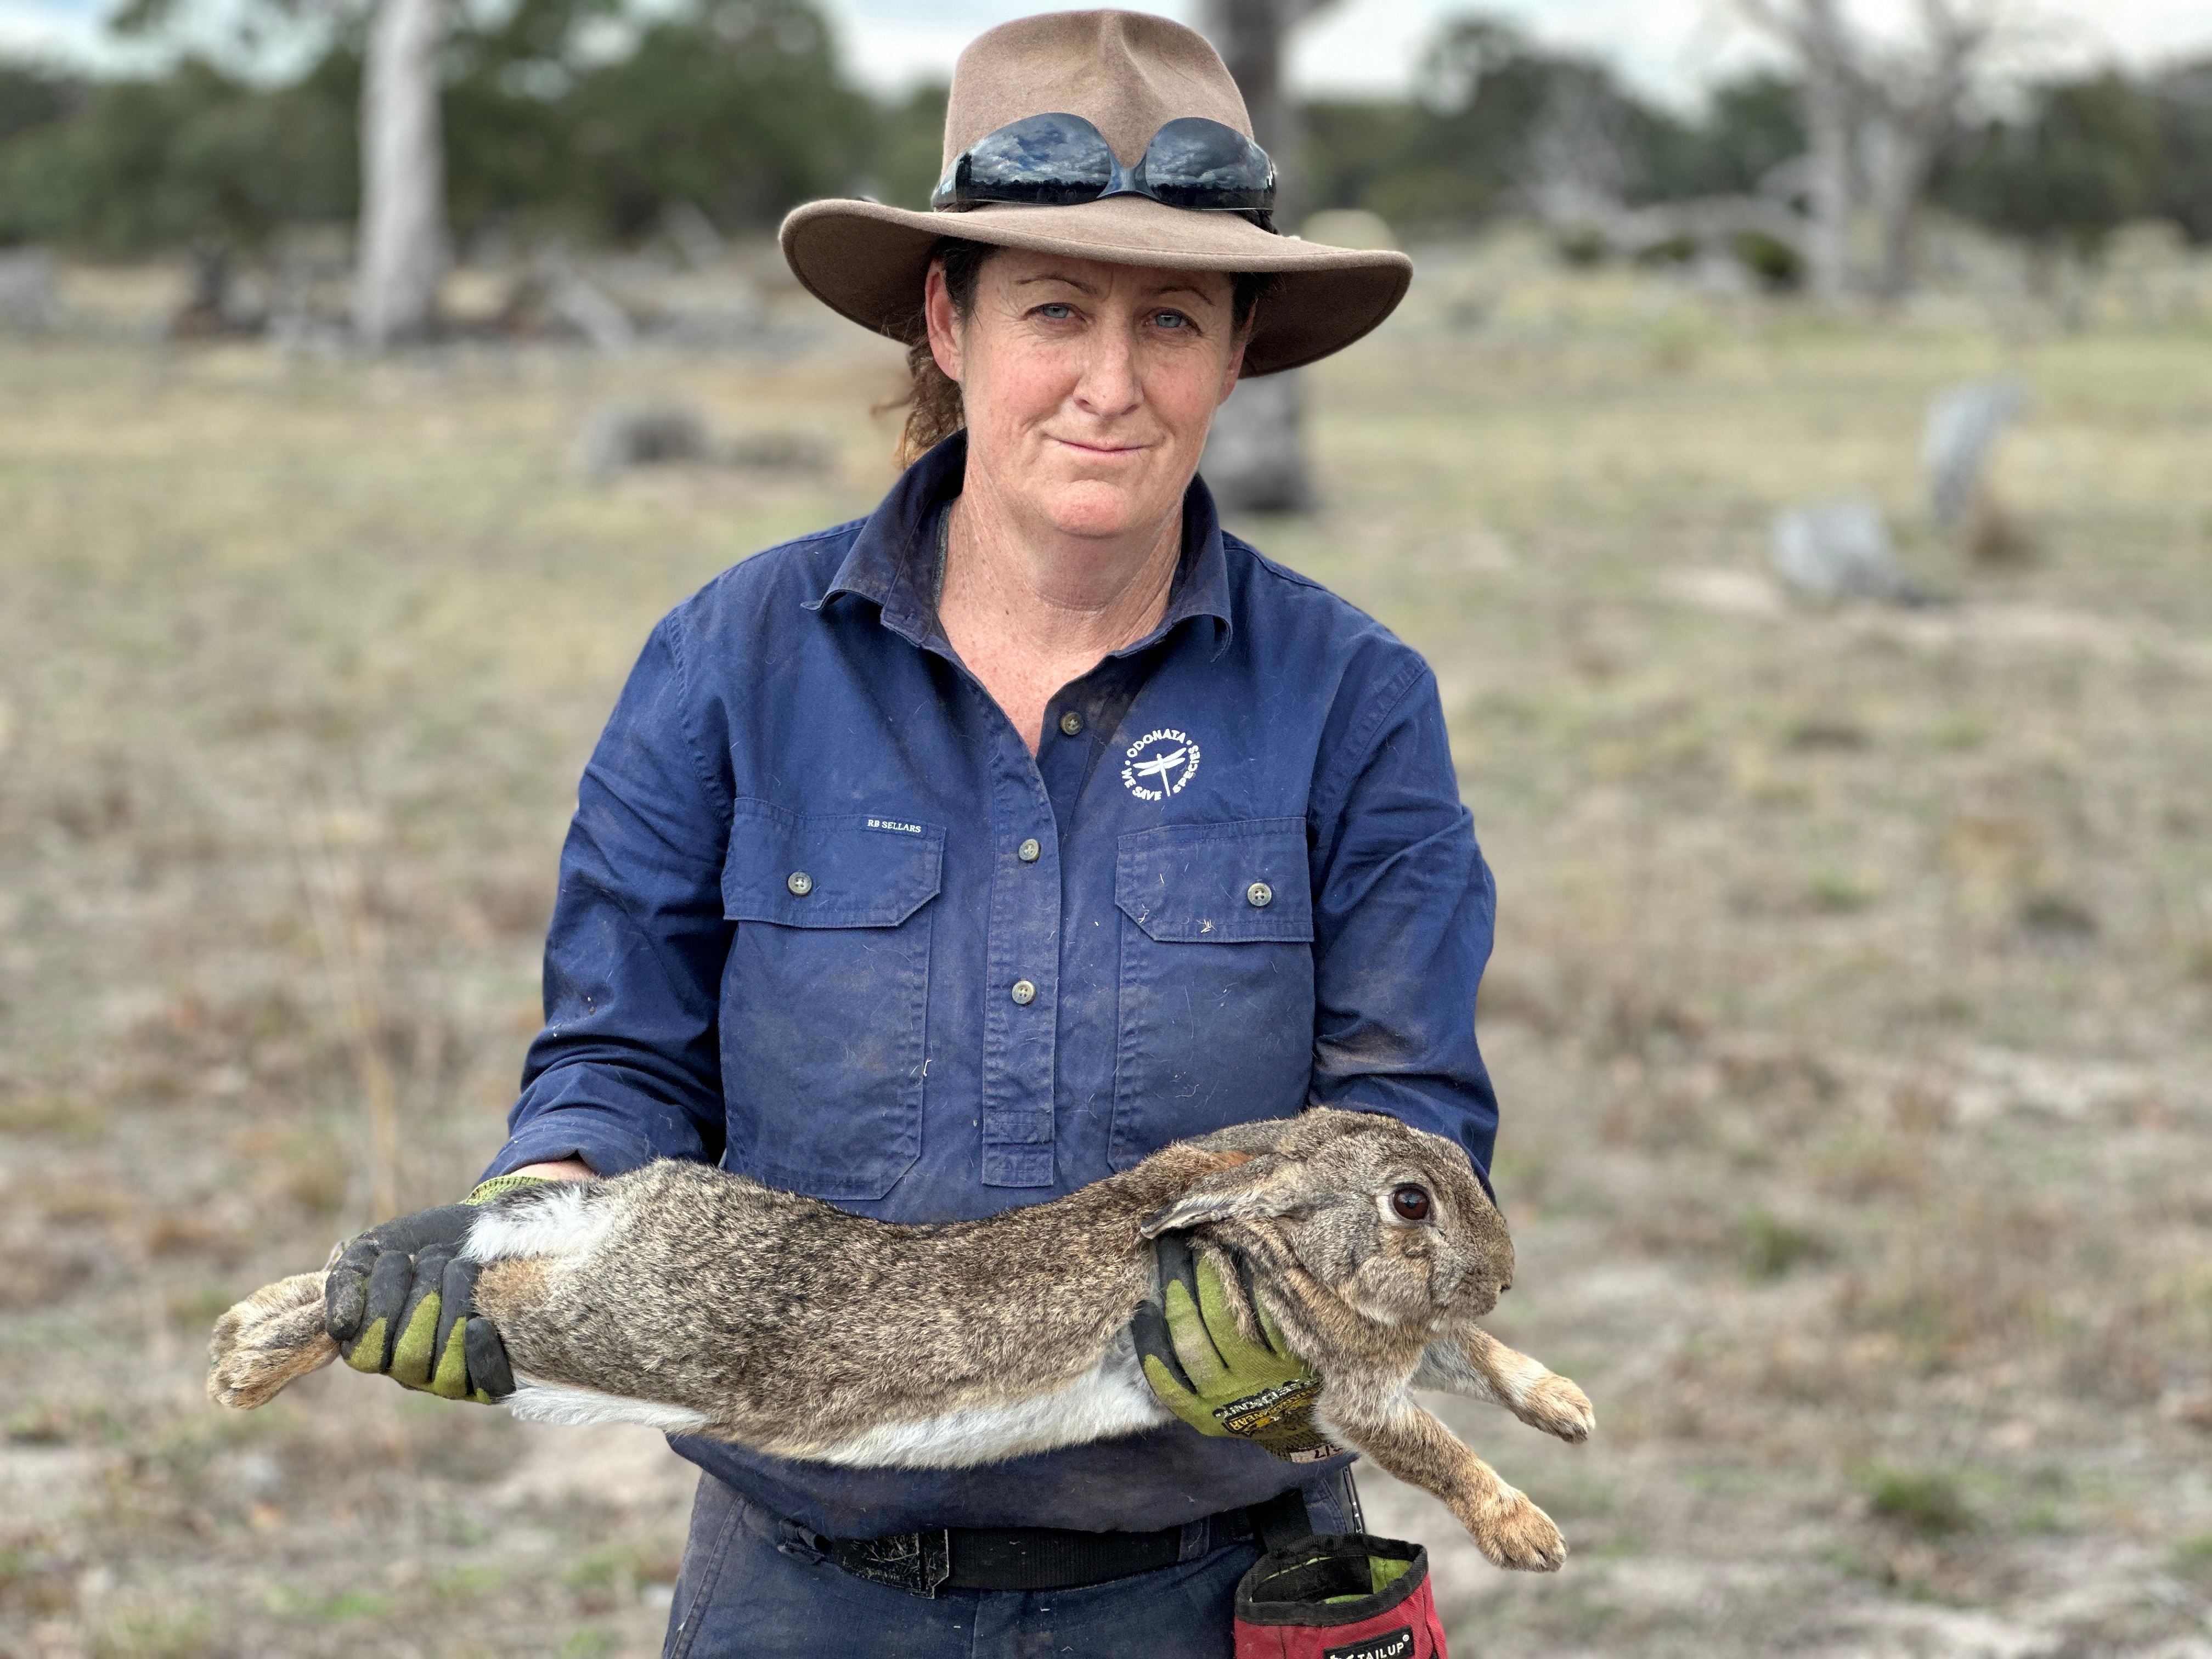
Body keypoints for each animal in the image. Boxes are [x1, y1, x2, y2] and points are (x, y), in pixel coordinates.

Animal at [208, 1107, 1593, 1571]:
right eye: (1409, 1203)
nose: (1502, 1269)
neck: (1283, 1241)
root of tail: (642, 1203)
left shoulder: (1397, 1347)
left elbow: (1479, 1364)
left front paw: (1568, 1405)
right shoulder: (1355, 1387)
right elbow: (1436, 1453)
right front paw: (1530, 1535)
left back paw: (249, 1328)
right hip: (627, 1335)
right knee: (478, 1294)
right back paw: (252, 1363)